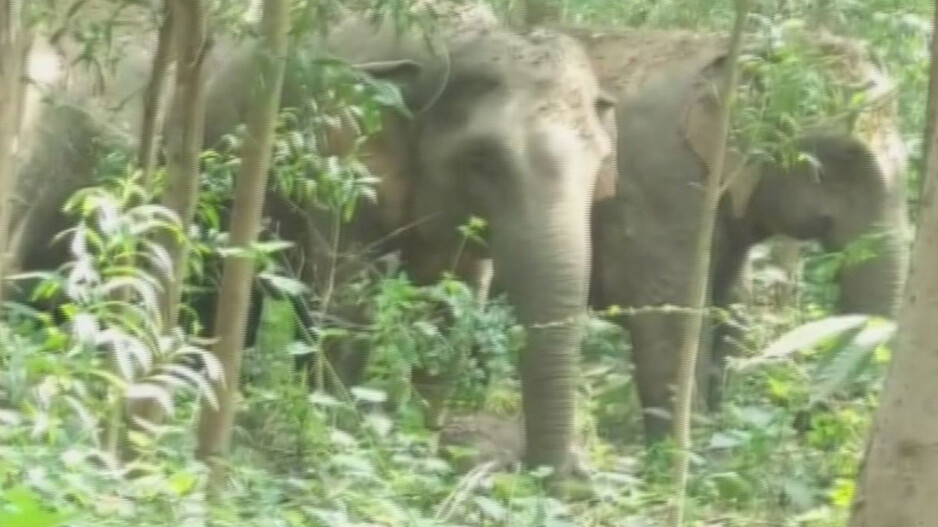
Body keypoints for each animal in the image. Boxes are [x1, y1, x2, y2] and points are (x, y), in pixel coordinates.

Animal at [556, 27, 909, 442]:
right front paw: (676, 453)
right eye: (835, 165)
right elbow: (668, 320)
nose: (802, 416)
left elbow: (733, 308)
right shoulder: (657, 186)